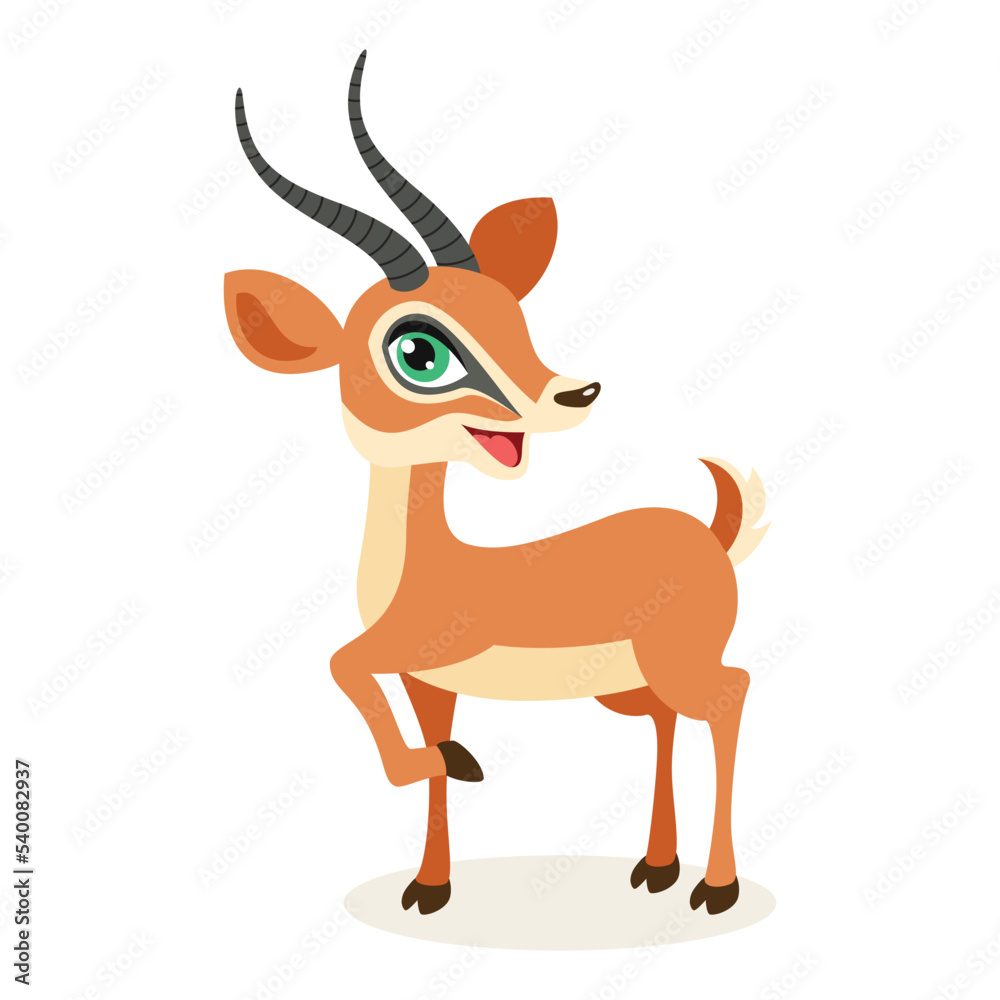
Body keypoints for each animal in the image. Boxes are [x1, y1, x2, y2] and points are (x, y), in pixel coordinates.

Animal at [224, 51, 768, 918]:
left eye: (513, 315)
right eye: (419, 352)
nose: (575, 393)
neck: (422, 570)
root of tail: (707, 533)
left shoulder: (413, 648)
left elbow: (343, 664)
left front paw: (453, 765)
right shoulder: (426, 682)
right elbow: (421, 735)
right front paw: (430, 877)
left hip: (681, 663)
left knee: (730, 694)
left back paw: (715, 887)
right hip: (628, 683)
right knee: (665, 721)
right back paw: (655, 868)